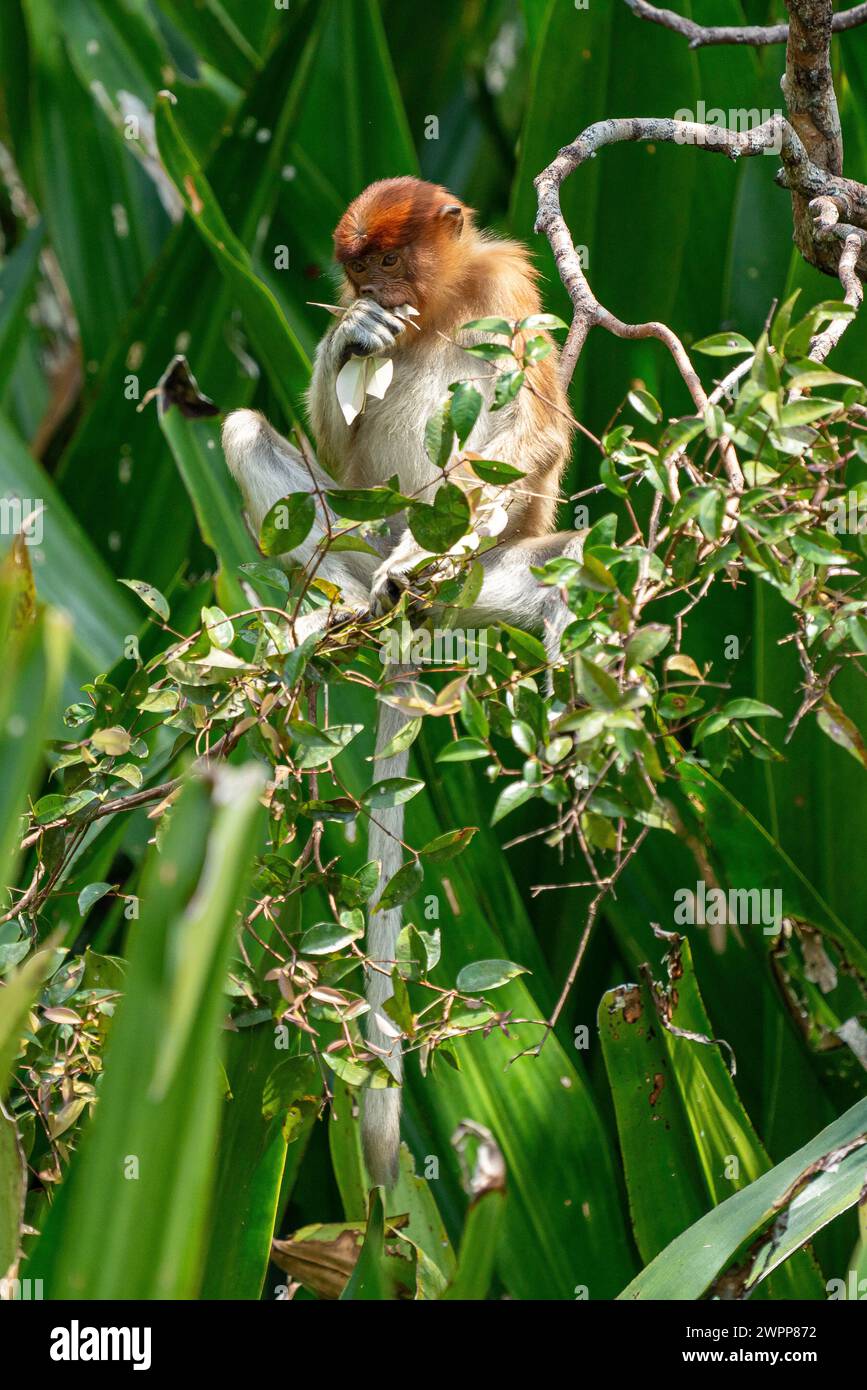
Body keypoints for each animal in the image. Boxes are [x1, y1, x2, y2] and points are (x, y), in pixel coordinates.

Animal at [222, 177, 584, 1189]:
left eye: (391, 256)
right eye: (357, 269)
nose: (372, 293)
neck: (439, 308)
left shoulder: (508, 290)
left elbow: (532, 431)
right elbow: (336, 430)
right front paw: (356, 338)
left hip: (483, 584)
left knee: (565, 562)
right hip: (355, 528)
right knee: (245, 430)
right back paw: (339, 610)